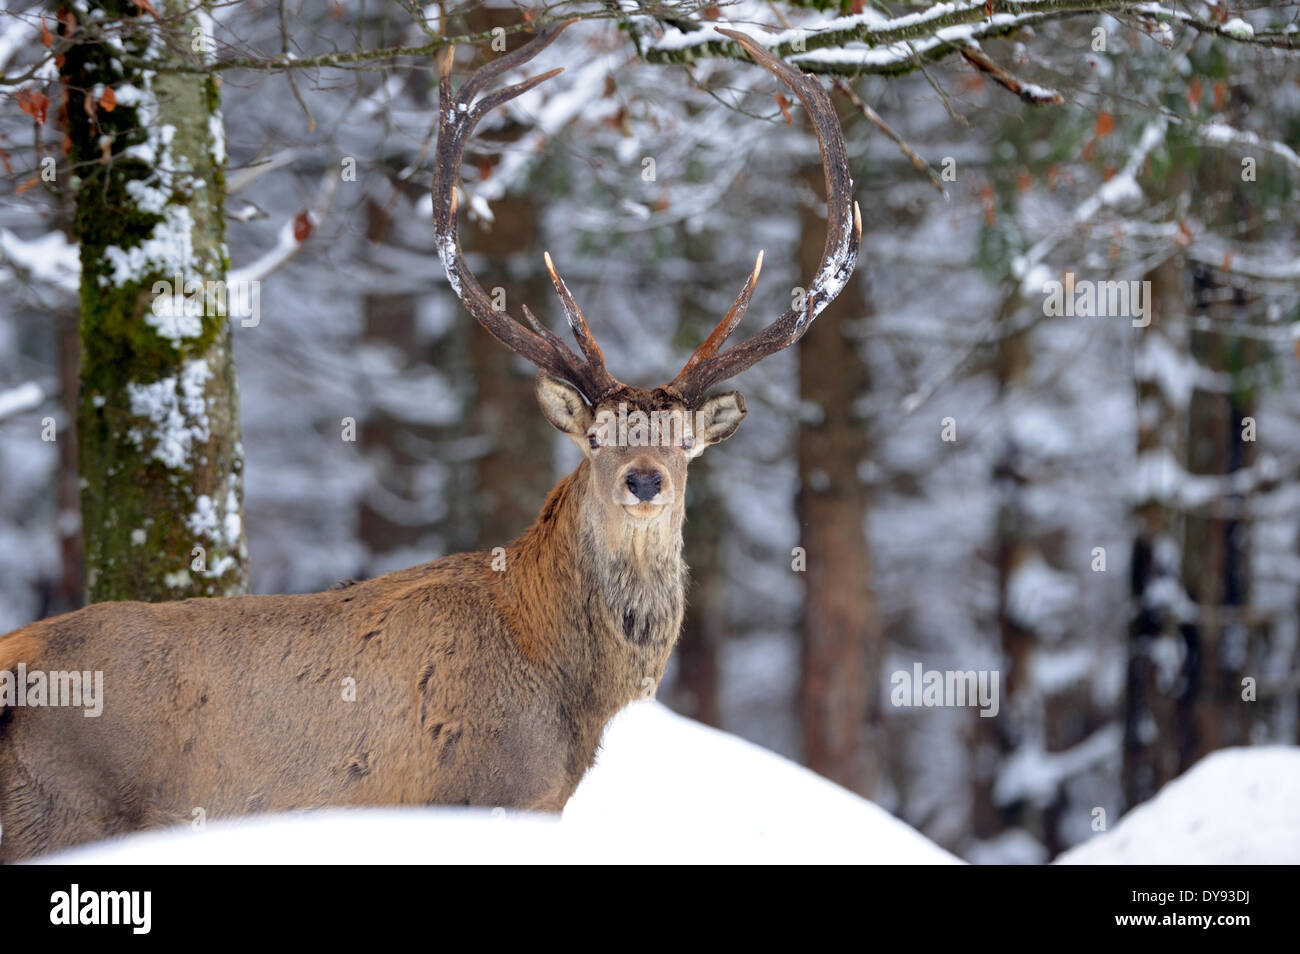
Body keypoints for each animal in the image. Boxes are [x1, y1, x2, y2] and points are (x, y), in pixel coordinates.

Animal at [0, 22, 860, 862]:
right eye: (596, 437)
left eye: (684, 442)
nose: (644, 480)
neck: (564, 689)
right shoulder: (481, 792)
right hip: (61, 813)